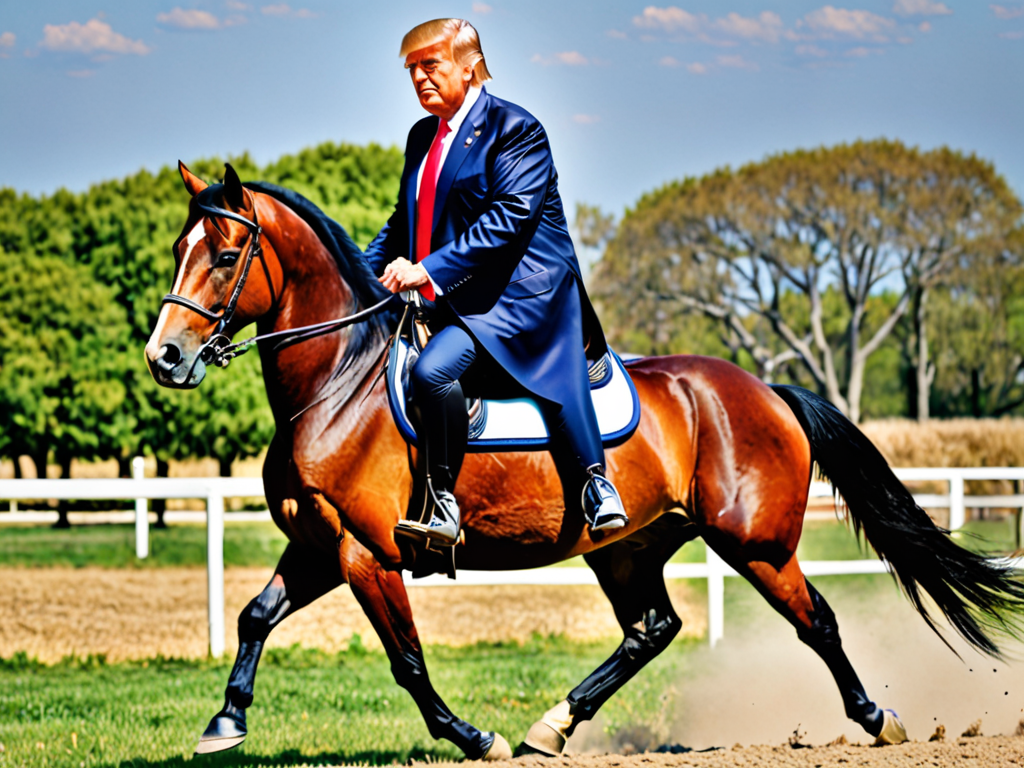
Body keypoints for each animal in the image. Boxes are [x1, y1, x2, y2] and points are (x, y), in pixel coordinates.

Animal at [145, 162, 1024, 759]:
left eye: (224, 255)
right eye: (180, 246)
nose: (165, 356)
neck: (339, 382)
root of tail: (764, 389)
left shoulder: (367, 555)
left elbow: (409, 664)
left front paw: (474, 737)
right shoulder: (319, 543)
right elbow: (256, 615)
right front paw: (224, 721)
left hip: (757, 543)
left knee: (818, 621)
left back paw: (880, 720)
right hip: (629, 547)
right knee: (653, 629)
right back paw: (556, 724)